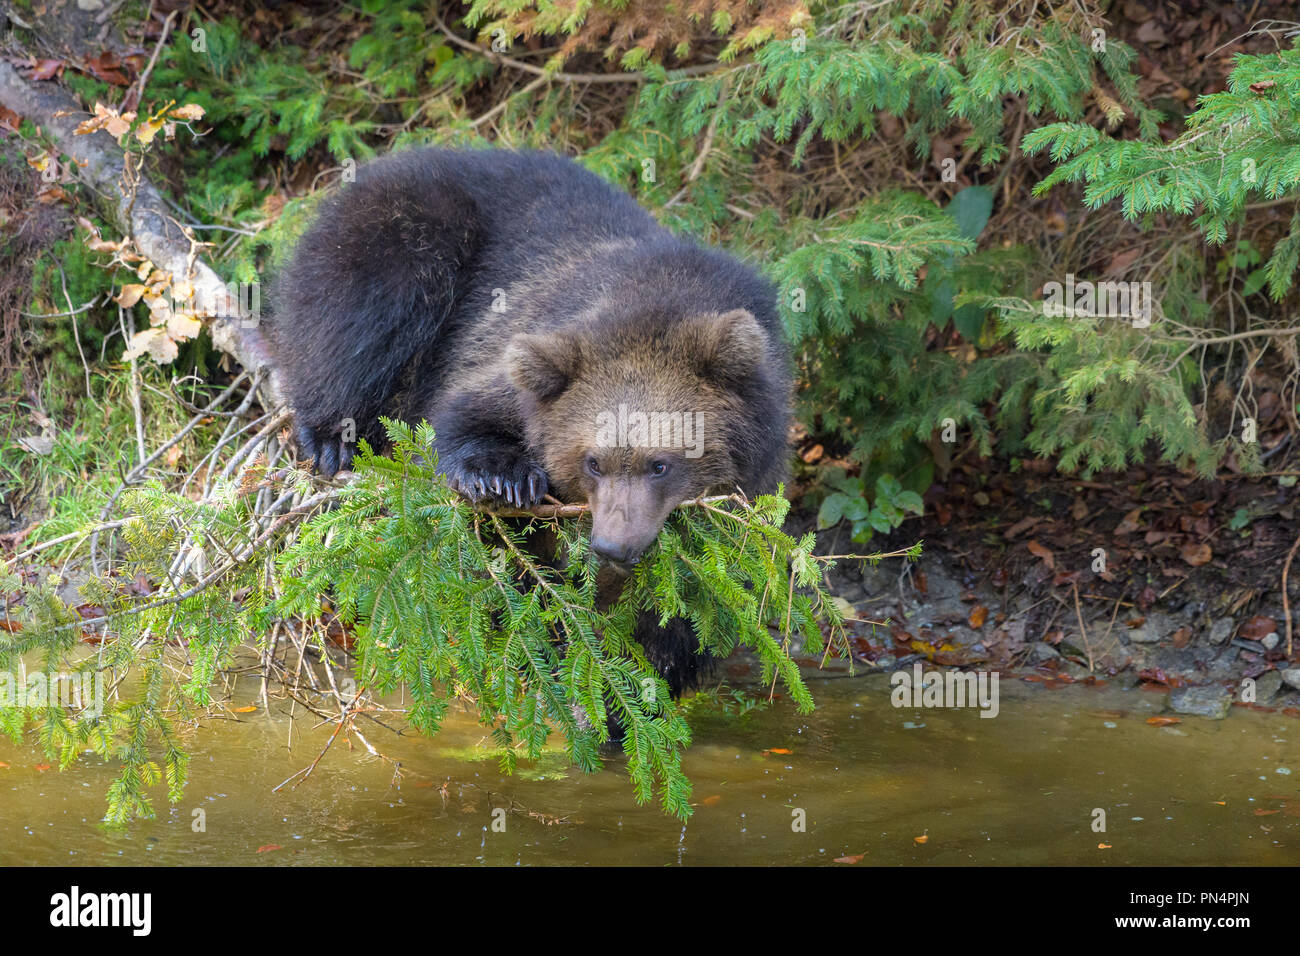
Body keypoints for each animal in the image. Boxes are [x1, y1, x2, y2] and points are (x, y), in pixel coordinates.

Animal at [269, 147, 792, 697]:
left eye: (660, 464)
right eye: (593, 462)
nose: (612, 544)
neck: (663, 301)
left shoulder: (756, 470)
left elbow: (697, 601)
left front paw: (634, 678)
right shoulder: (525, 345)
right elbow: (463, 416)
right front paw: (504, 479)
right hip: (403, 232)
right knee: (360, 315)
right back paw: (333, 438)